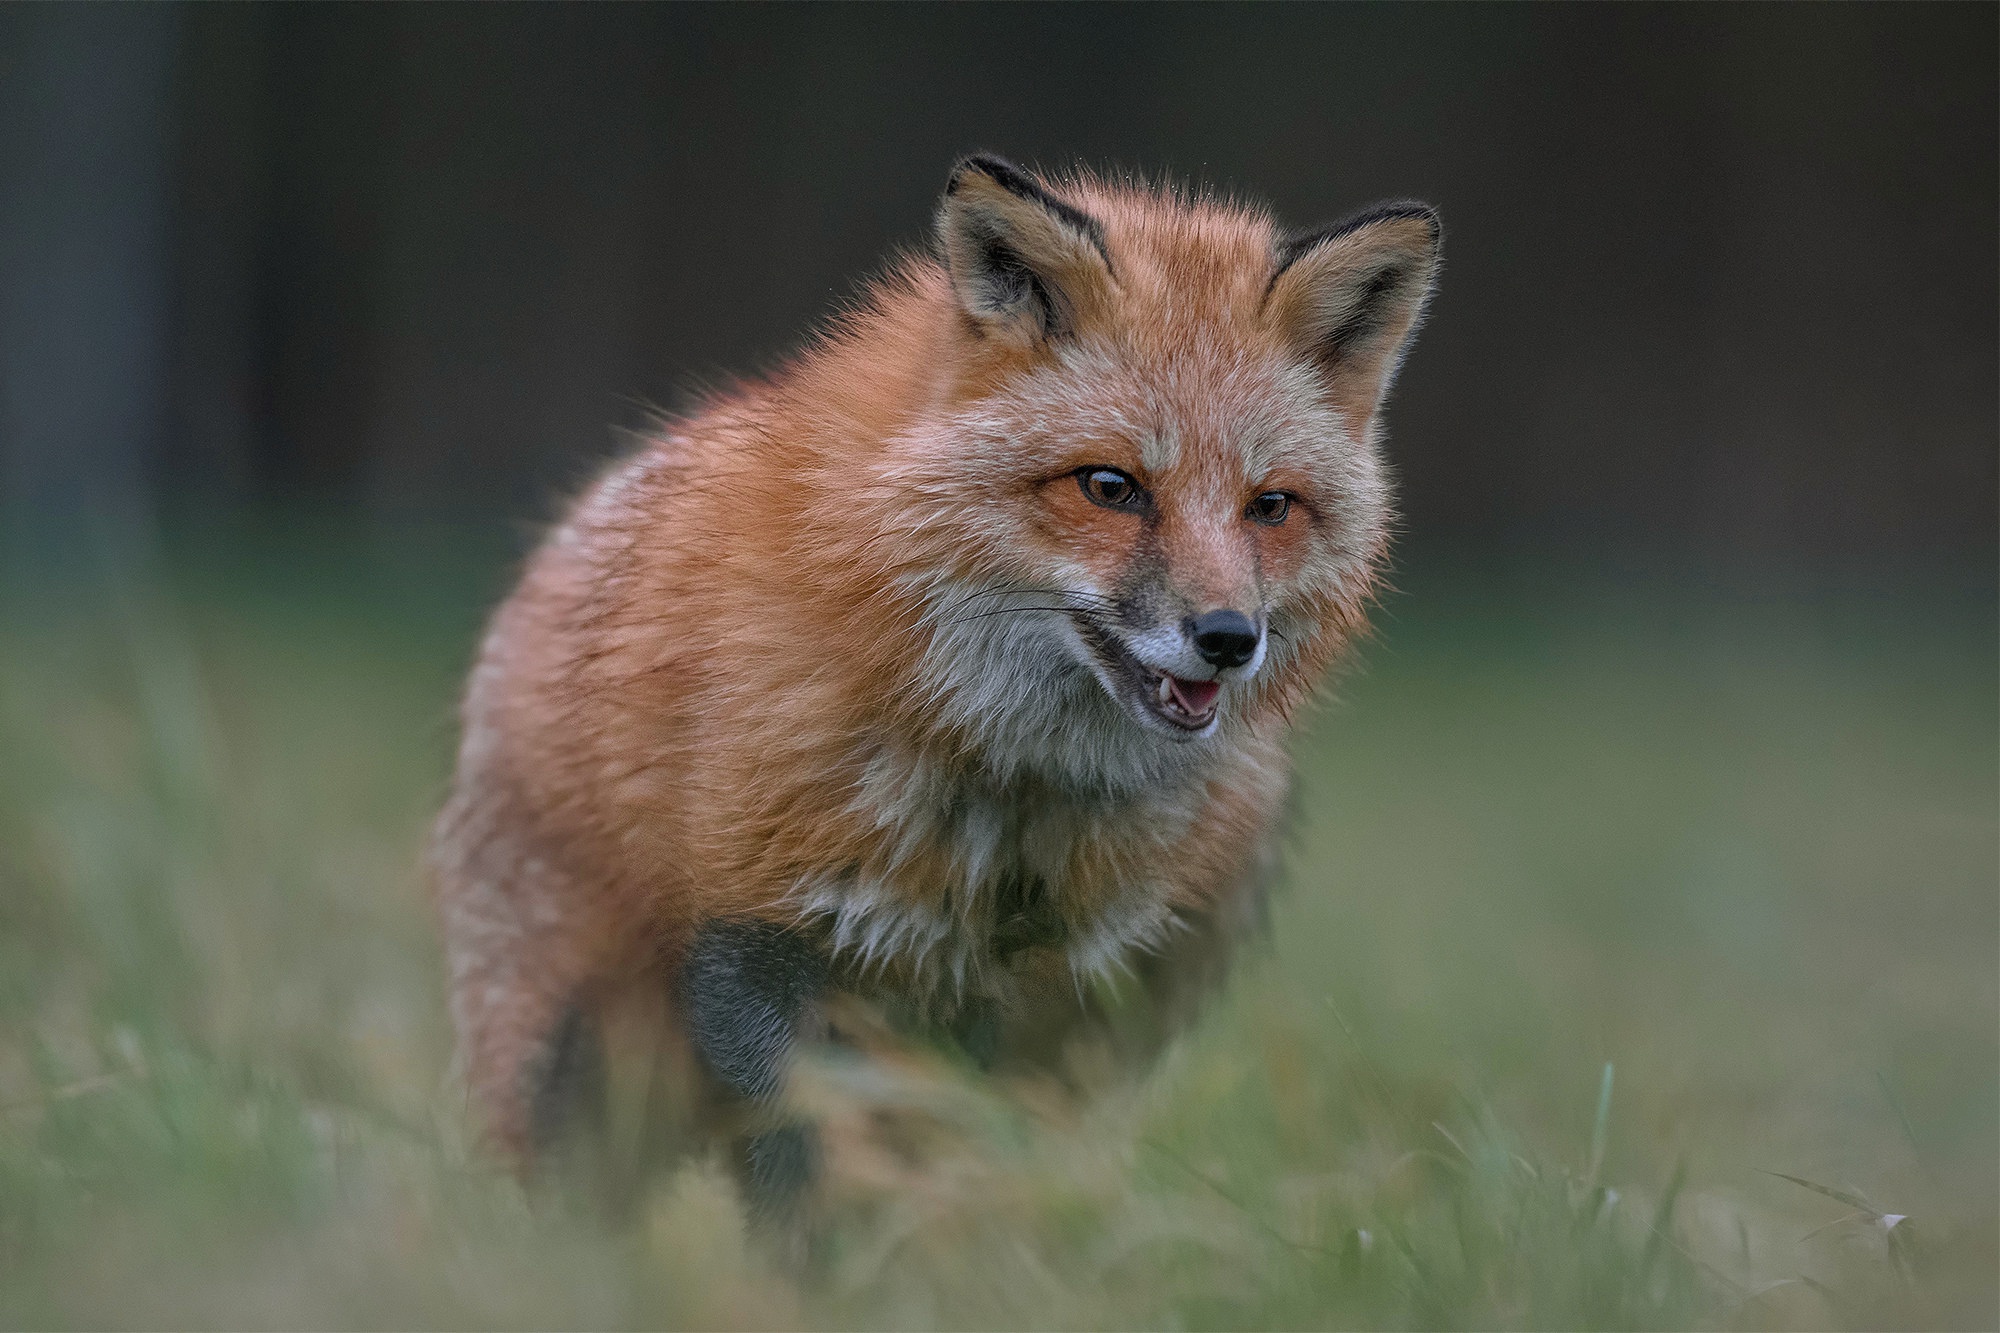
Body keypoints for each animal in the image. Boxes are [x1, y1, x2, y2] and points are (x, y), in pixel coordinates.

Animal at [429, 154, 1439, 1223]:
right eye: (1110, 487)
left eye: (1271, 506)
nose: (1227, 638)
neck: (1004, 800)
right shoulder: (753, 933)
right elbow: (808, 1167)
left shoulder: (1052, 999)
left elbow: (964, 1167)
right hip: (572, 1042)